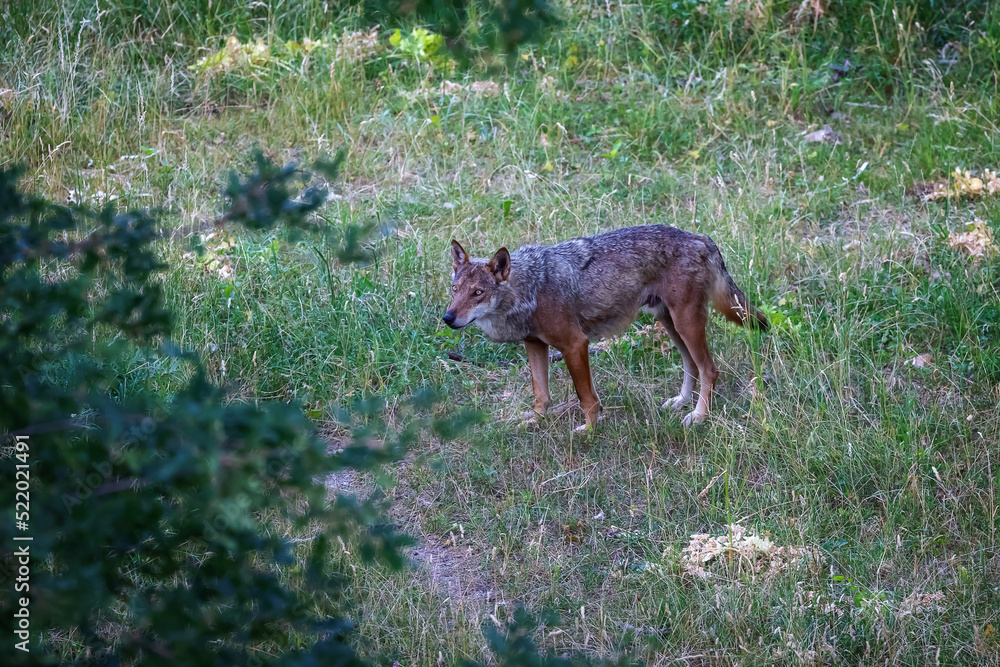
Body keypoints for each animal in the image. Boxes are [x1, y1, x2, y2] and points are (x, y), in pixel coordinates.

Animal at [442, 225, 768, 429]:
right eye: (455, 290)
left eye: (477, 293)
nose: (448, 318)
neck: (530, 288)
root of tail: (700, 237)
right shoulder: (535, 345)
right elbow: (541, 395)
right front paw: (535, 422)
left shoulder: (575, 344)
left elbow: (587, 399)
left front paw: (588, 432)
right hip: (671, 324)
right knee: (692, 365)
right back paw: (681, 402)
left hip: (685, 324)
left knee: (709, 369)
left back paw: (699, 417)